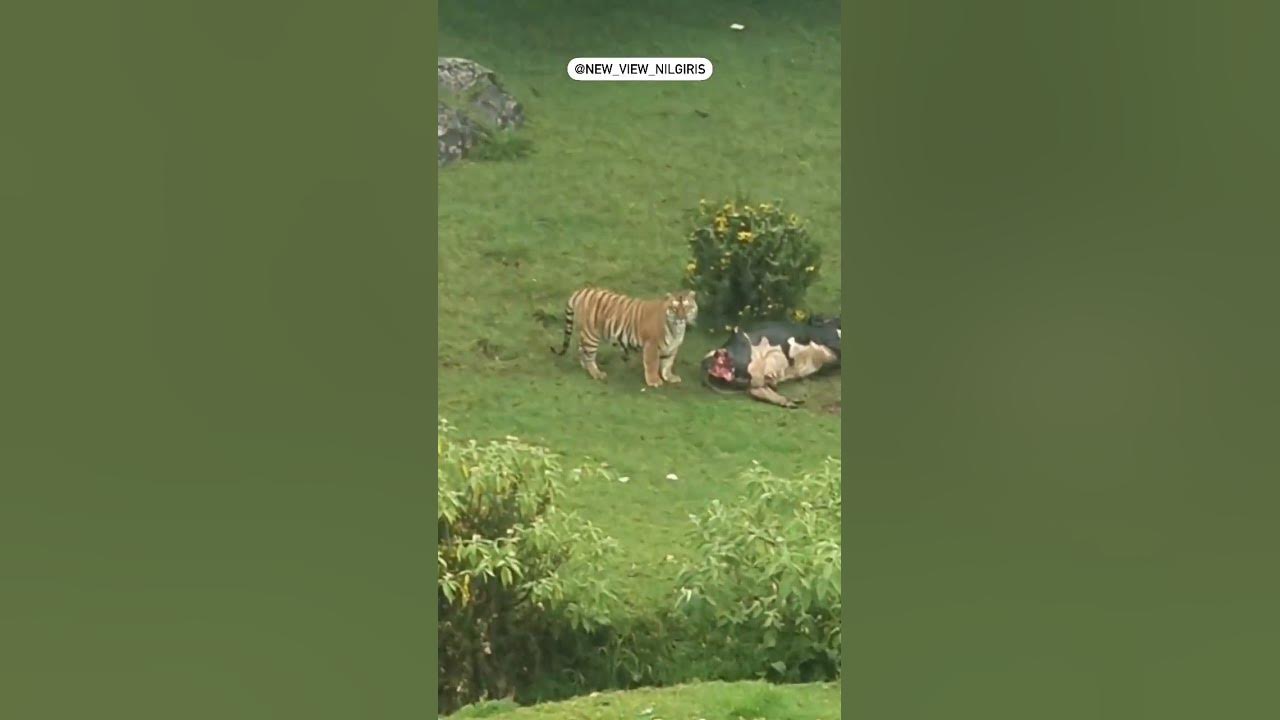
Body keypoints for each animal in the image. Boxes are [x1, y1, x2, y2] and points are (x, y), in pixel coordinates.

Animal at [551, 287, 698, 387]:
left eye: (686, 307)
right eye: (674, 309)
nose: (681, 318)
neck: (676, 329)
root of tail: (582, 291)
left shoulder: (672, 348)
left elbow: (667, 364)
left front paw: (670, 377)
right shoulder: (651, 346)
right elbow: (652, 364)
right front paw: (654, 381)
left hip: (586, 334)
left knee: (582, 349)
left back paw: (585, 368)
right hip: (591, 336)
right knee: (589, 356)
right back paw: (597, 373)